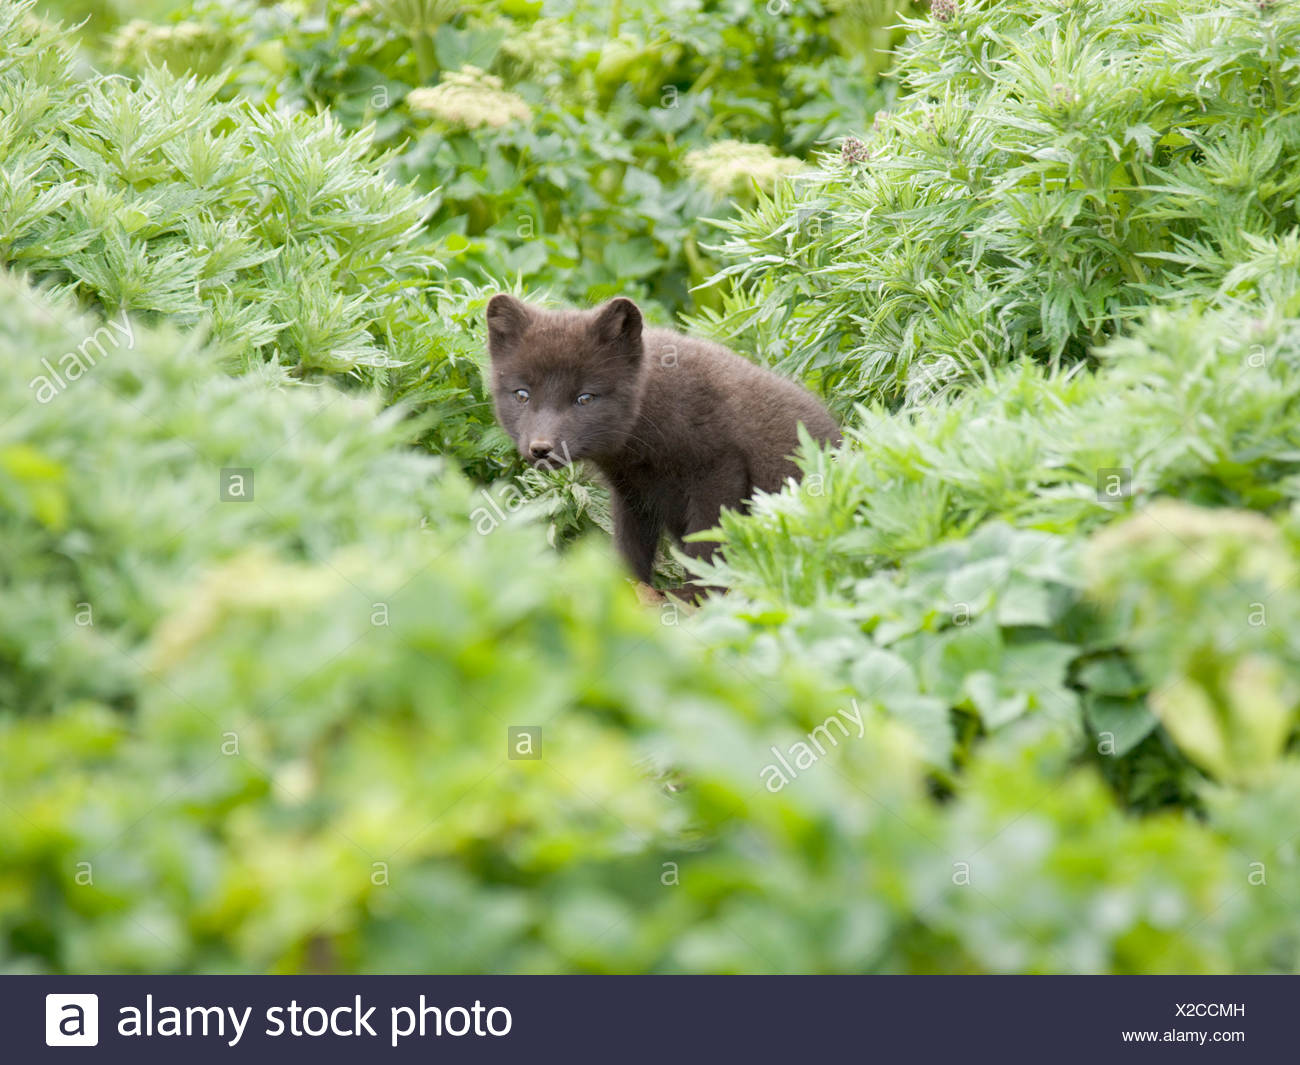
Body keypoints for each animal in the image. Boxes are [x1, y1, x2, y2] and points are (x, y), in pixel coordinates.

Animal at [485, 294, 840, 590]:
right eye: (522, 394)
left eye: (585, 398)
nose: (541, 448)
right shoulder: (631, 494)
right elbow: (630, 552)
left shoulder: (720, 471)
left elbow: (707, 552)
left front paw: (699, 604)